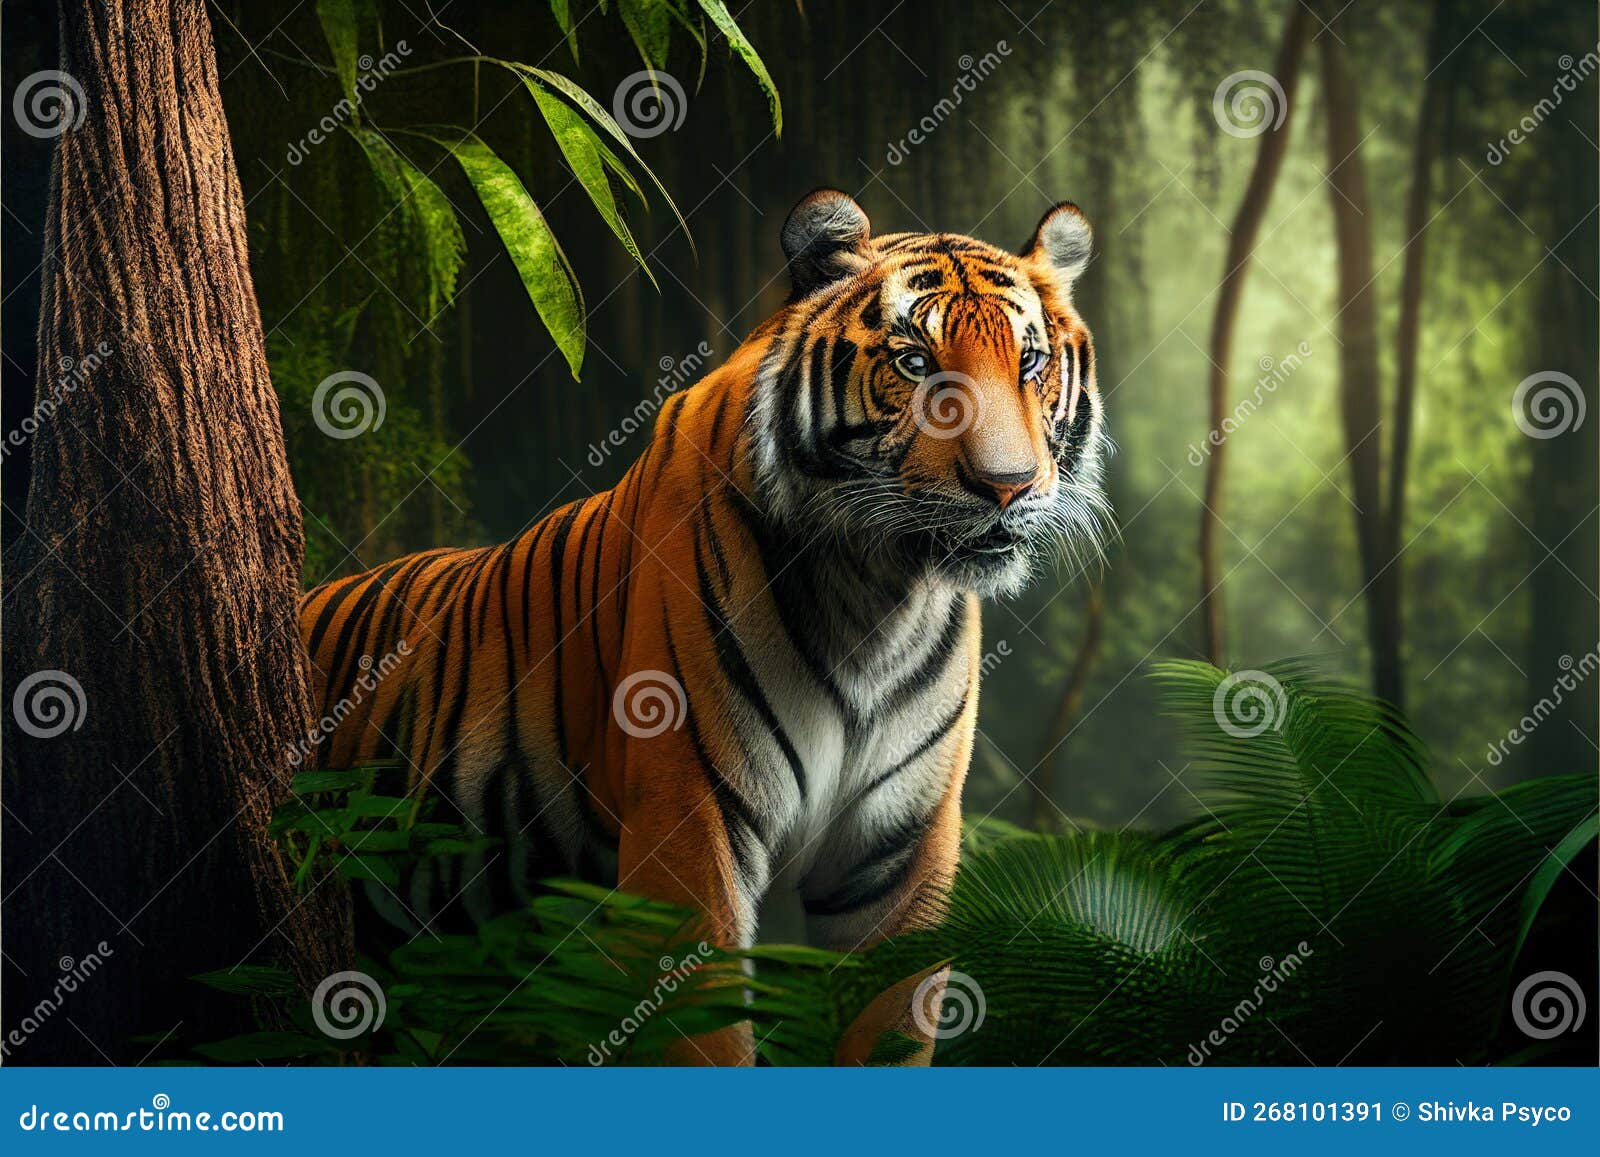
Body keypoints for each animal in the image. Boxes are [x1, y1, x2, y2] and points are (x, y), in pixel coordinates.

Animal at [296, 190, 1110, 1063]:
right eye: (916, 363)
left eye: (1029, 364)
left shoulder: (898, 850)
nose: (1008, 485)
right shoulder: (688, 825)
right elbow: (703, 1026)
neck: (878, 593)